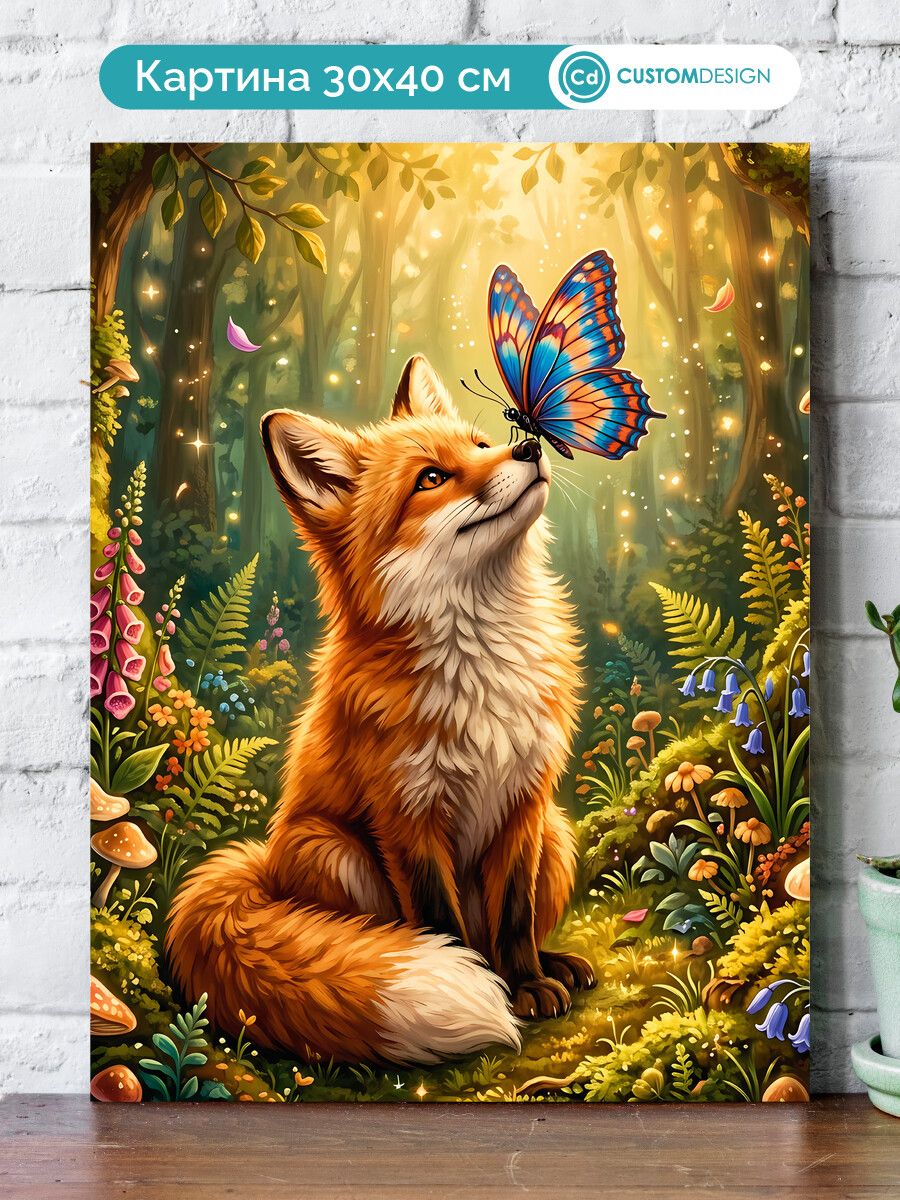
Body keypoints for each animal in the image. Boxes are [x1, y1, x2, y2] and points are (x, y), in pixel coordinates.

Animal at [166, 354, 594, 1066]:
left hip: (557, 836)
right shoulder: (407, 816)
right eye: (431, 479)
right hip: (332, 851)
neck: (479, 664)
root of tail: (264, 869)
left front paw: (527, 983)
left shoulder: (524, 802)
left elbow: (512, 919)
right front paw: (485, 987)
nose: (529, 448)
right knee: (388, 928)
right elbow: (442, 924)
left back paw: (552, 966)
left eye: (482, 445)